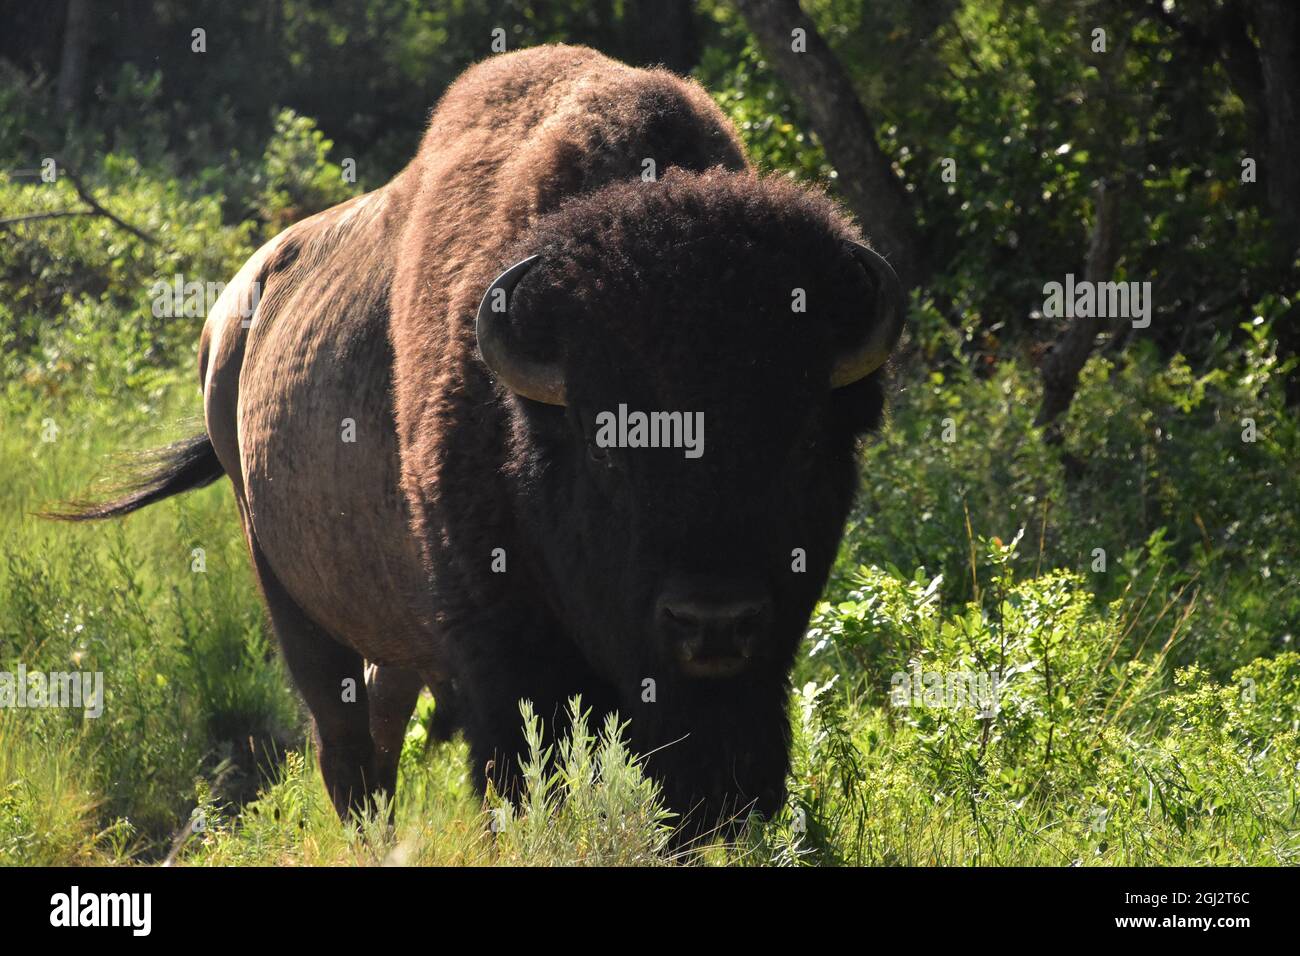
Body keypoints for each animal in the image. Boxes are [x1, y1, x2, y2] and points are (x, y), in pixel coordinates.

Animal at [63, 44, 904, 838]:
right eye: (605, 448)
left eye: (806, 444)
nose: (714, 621)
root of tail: (227, 325)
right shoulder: (504, 654)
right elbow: (524, 769)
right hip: (288, 593)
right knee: (344, 745)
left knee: (382, 725)